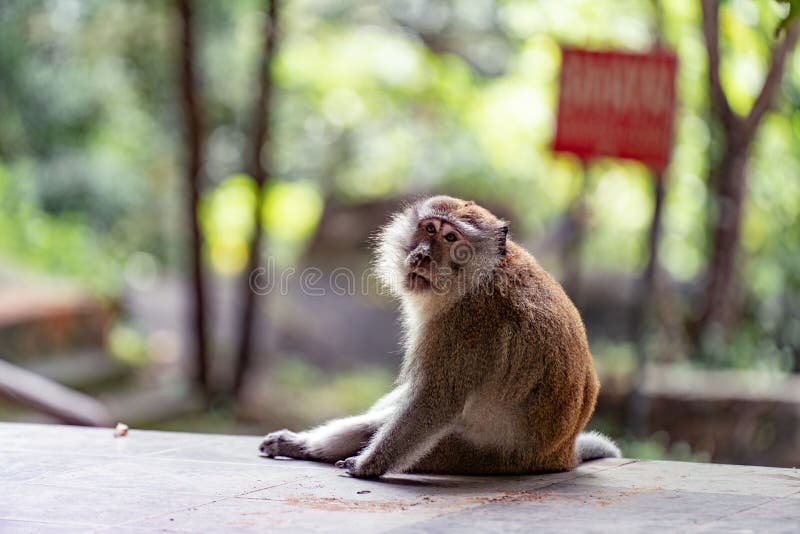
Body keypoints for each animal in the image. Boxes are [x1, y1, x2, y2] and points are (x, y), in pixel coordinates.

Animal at [260, 195, 620, 478]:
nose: (421, 254)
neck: (480, 276)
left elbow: (433, 401)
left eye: (450, 238)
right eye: (430, 229)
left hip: (469, 455)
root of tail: (561, 455)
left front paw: (366, 466)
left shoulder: (468, 326)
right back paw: (301, 446)